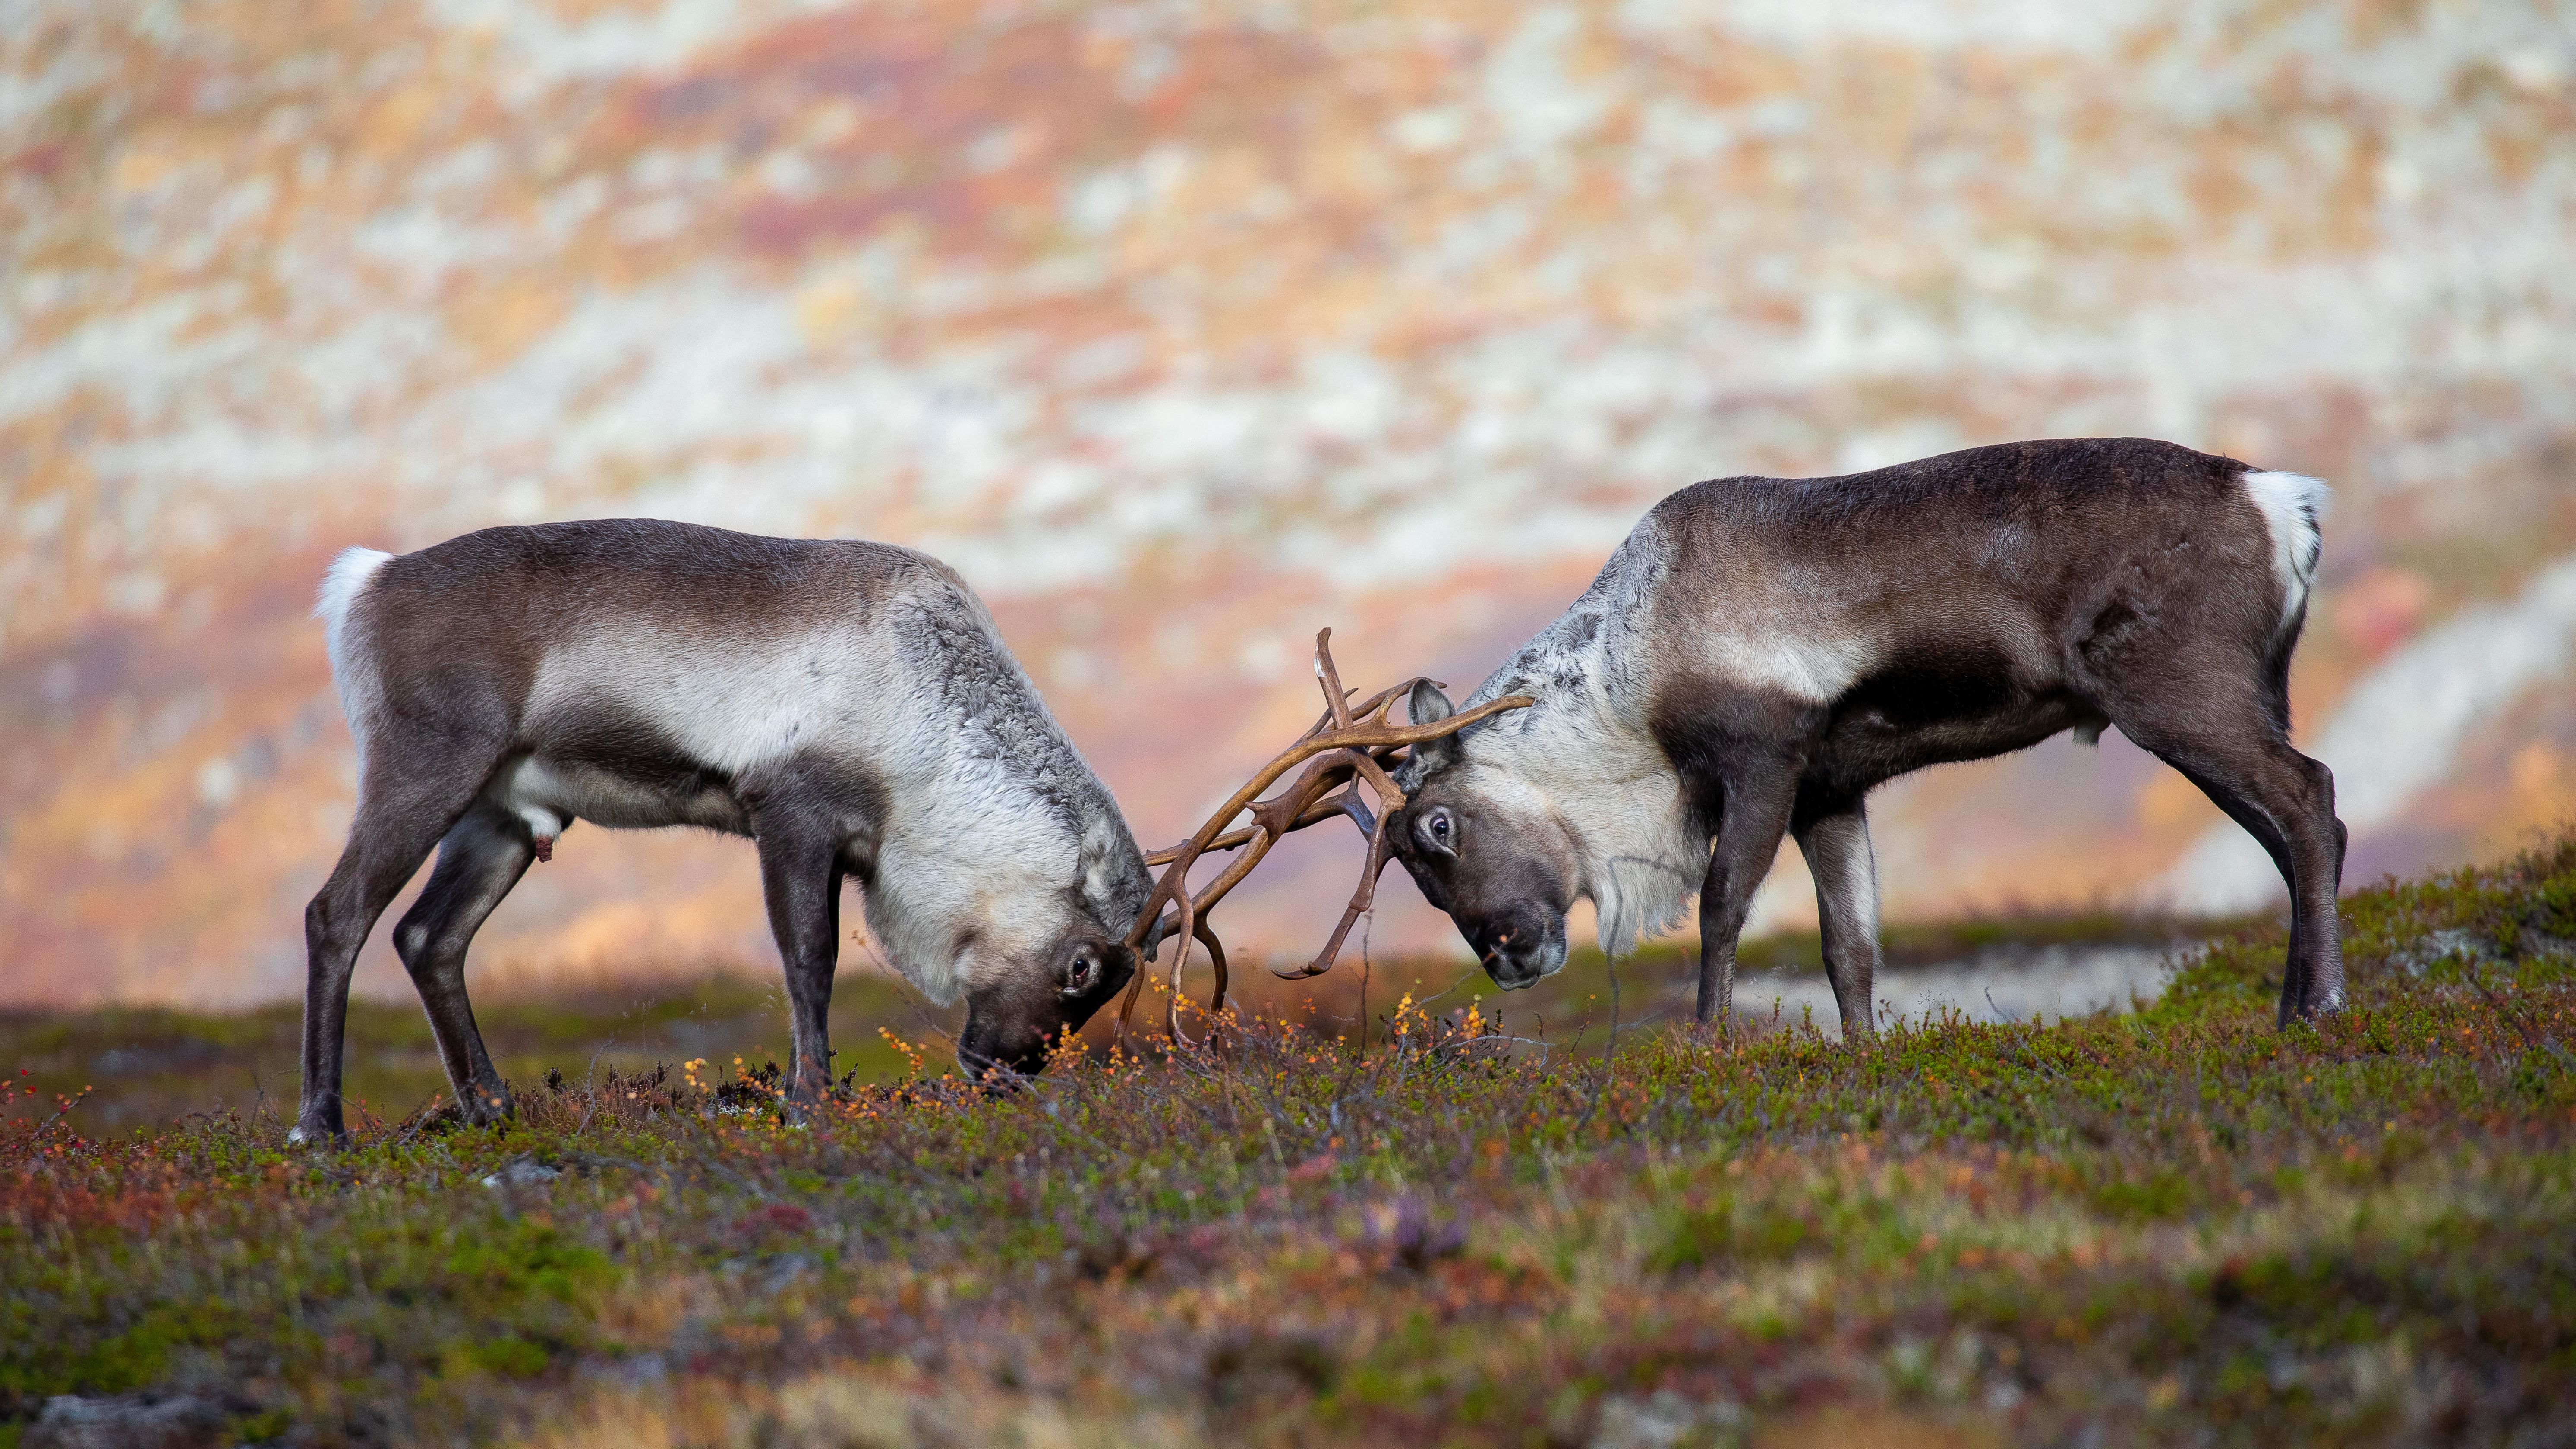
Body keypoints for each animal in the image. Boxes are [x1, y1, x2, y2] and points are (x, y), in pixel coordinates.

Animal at [294, 519, 1164, 1144]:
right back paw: (322, 1128)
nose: (1006, 1074)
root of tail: (366, 583)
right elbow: (809, 961)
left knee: (427, 937)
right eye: (1082, 966)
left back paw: (491, 1108)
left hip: (501, 817)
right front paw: (808, 1102)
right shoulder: (791, 814)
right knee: (337, 914)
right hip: (427, 768)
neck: (931, 740)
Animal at [1373, 437, 2345, 1037]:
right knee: (2293, 832)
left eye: (1435, 827)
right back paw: (2287, 1009)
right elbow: (1848, 943)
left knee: (2311, 801)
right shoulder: (1830, 792)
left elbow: (1722, 904)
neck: (1626, 680)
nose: (1507, 958)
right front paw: (1859, 1052)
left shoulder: (1765, 760)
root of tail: (2282, 505)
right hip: (2228, 711)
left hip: (2181, 699)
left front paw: (1706, 1042)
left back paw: (2320, 1008)